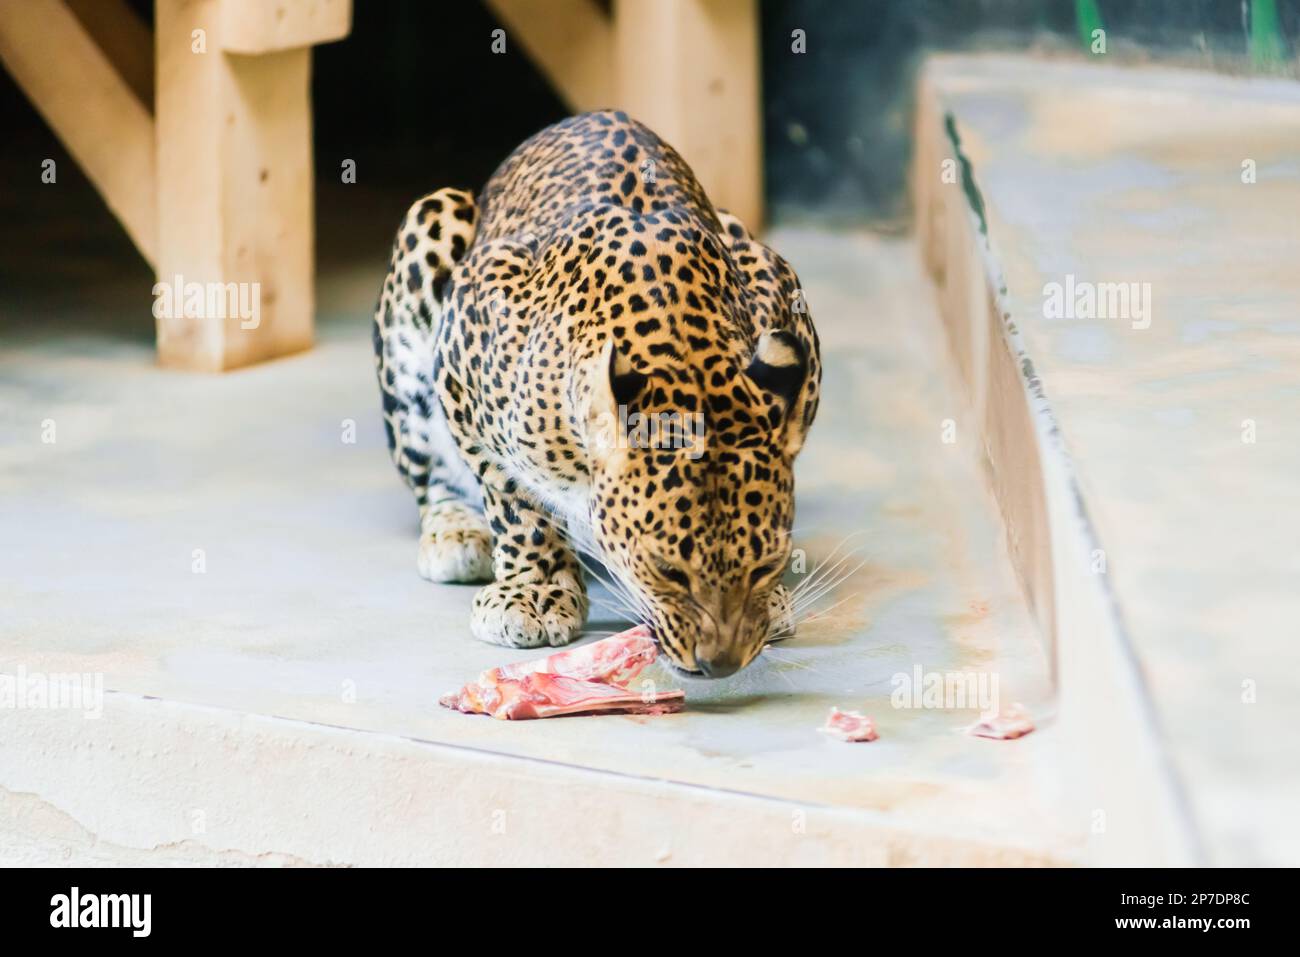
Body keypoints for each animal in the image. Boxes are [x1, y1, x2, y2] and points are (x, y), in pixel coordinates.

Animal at [372, 111, 820, 678]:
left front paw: (772, 599)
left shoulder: (778, 282)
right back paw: (456, 535)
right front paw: (534, 591)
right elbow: (513, 496)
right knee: (428, 469)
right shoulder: (462, 348)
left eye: (764, 564)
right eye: (667, 570)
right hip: (432, 223)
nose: (721, 663)